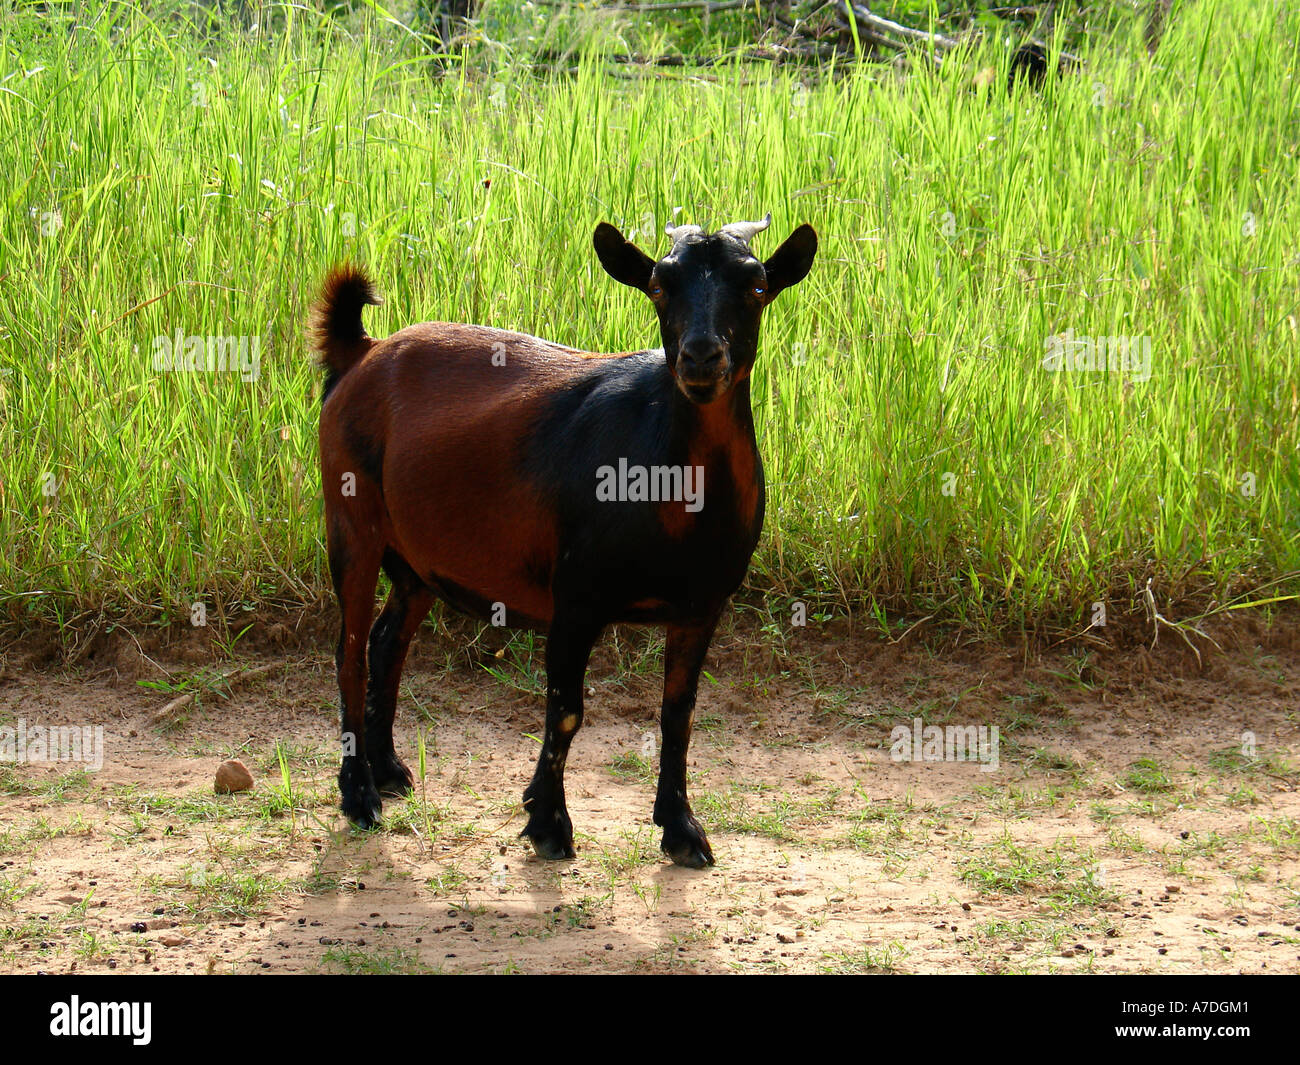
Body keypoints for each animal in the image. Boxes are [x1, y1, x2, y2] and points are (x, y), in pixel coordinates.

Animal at [313, 214, 817, 867]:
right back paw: (359, 795)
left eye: (757, 287)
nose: (701, 357)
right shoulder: (576, 599)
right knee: (348, 652)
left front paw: (682, 829)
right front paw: (549, 823)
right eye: (659, 286)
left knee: (386, 643)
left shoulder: (702, 607)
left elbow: (678, 714)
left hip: (415, 560)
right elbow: (567, 710)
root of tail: (363, 351)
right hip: (351, 519)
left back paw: (391, 770)